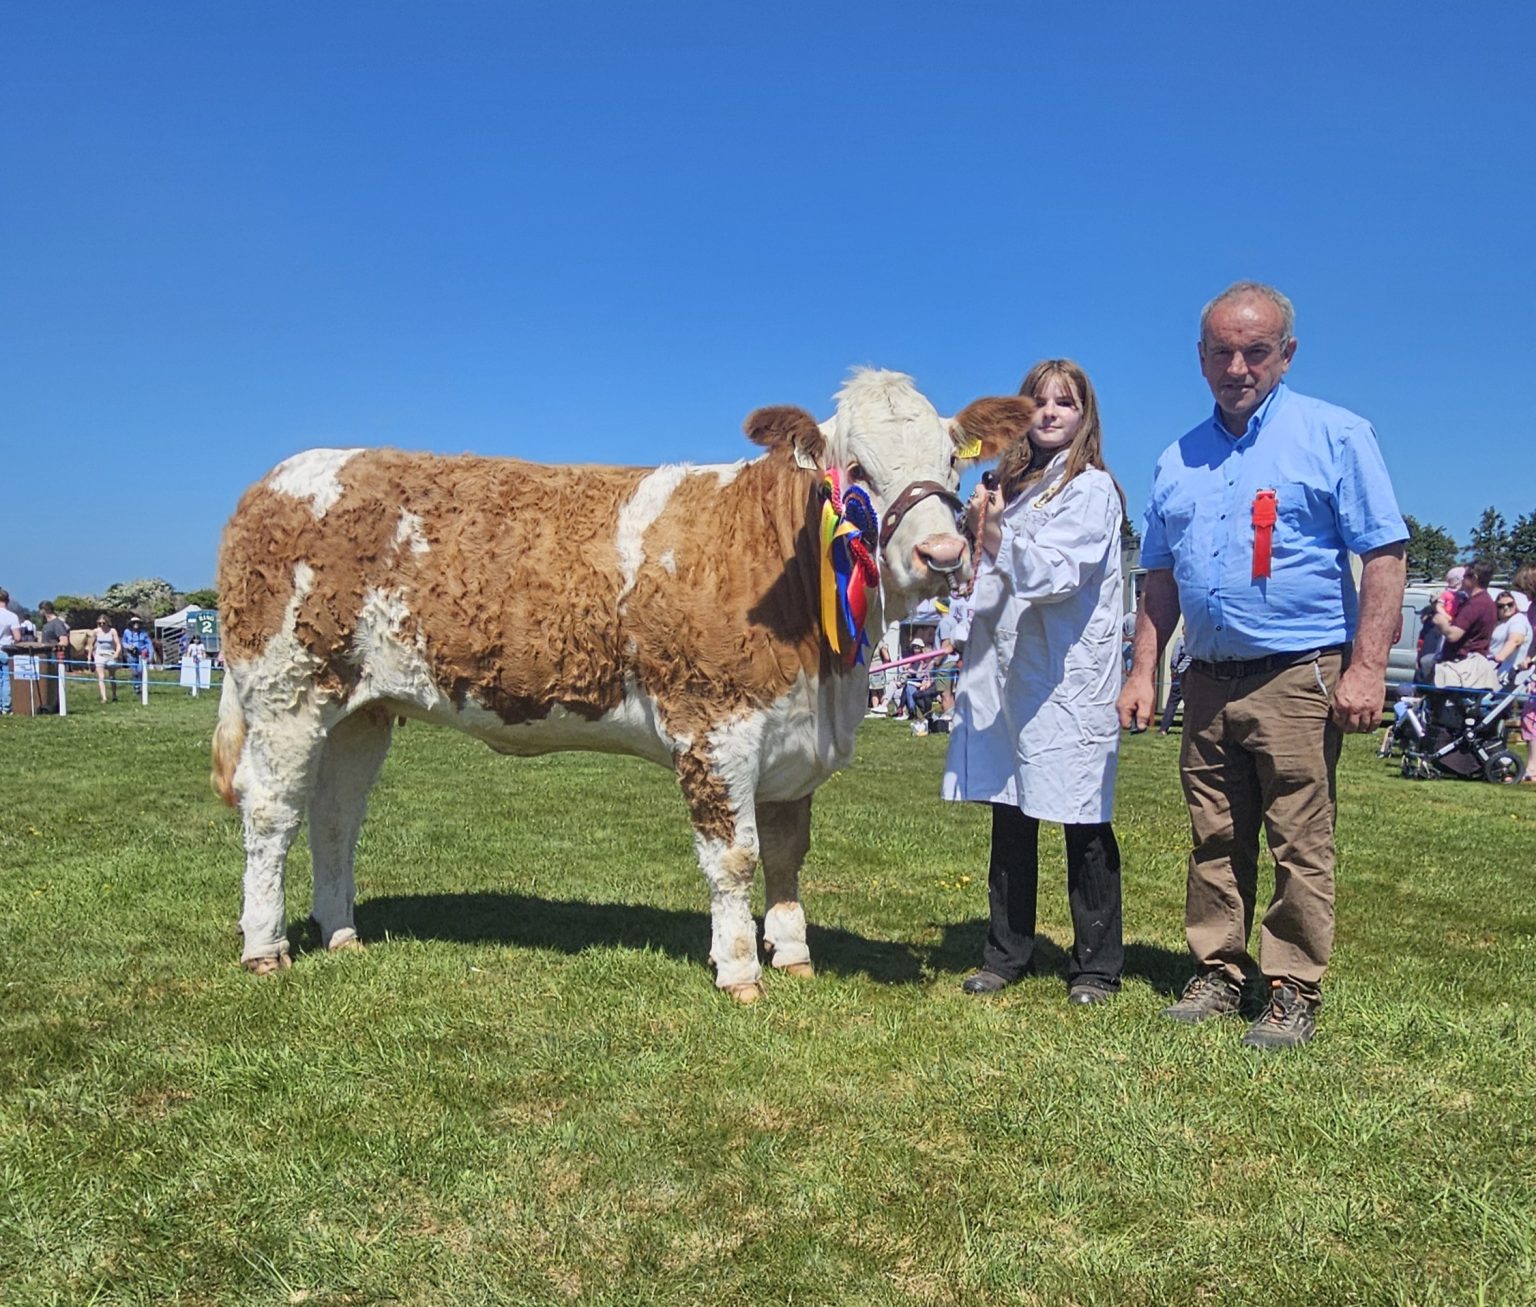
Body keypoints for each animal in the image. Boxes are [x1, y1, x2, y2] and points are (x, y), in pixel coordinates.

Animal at [212, 370, 1034, 1000]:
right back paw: (265, 947)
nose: (942, 554)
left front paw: (795, 955)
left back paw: (342, 933)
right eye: (856, 470)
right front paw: (740, 972)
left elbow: (788, 854)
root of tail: (277, 478)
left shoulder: (793, 741)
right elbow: (736, 858)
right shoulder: (716, 728)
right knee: (271, 813)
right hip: (286, 690)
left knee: (335, 818)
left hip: (361, 710)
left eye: (951, 462)